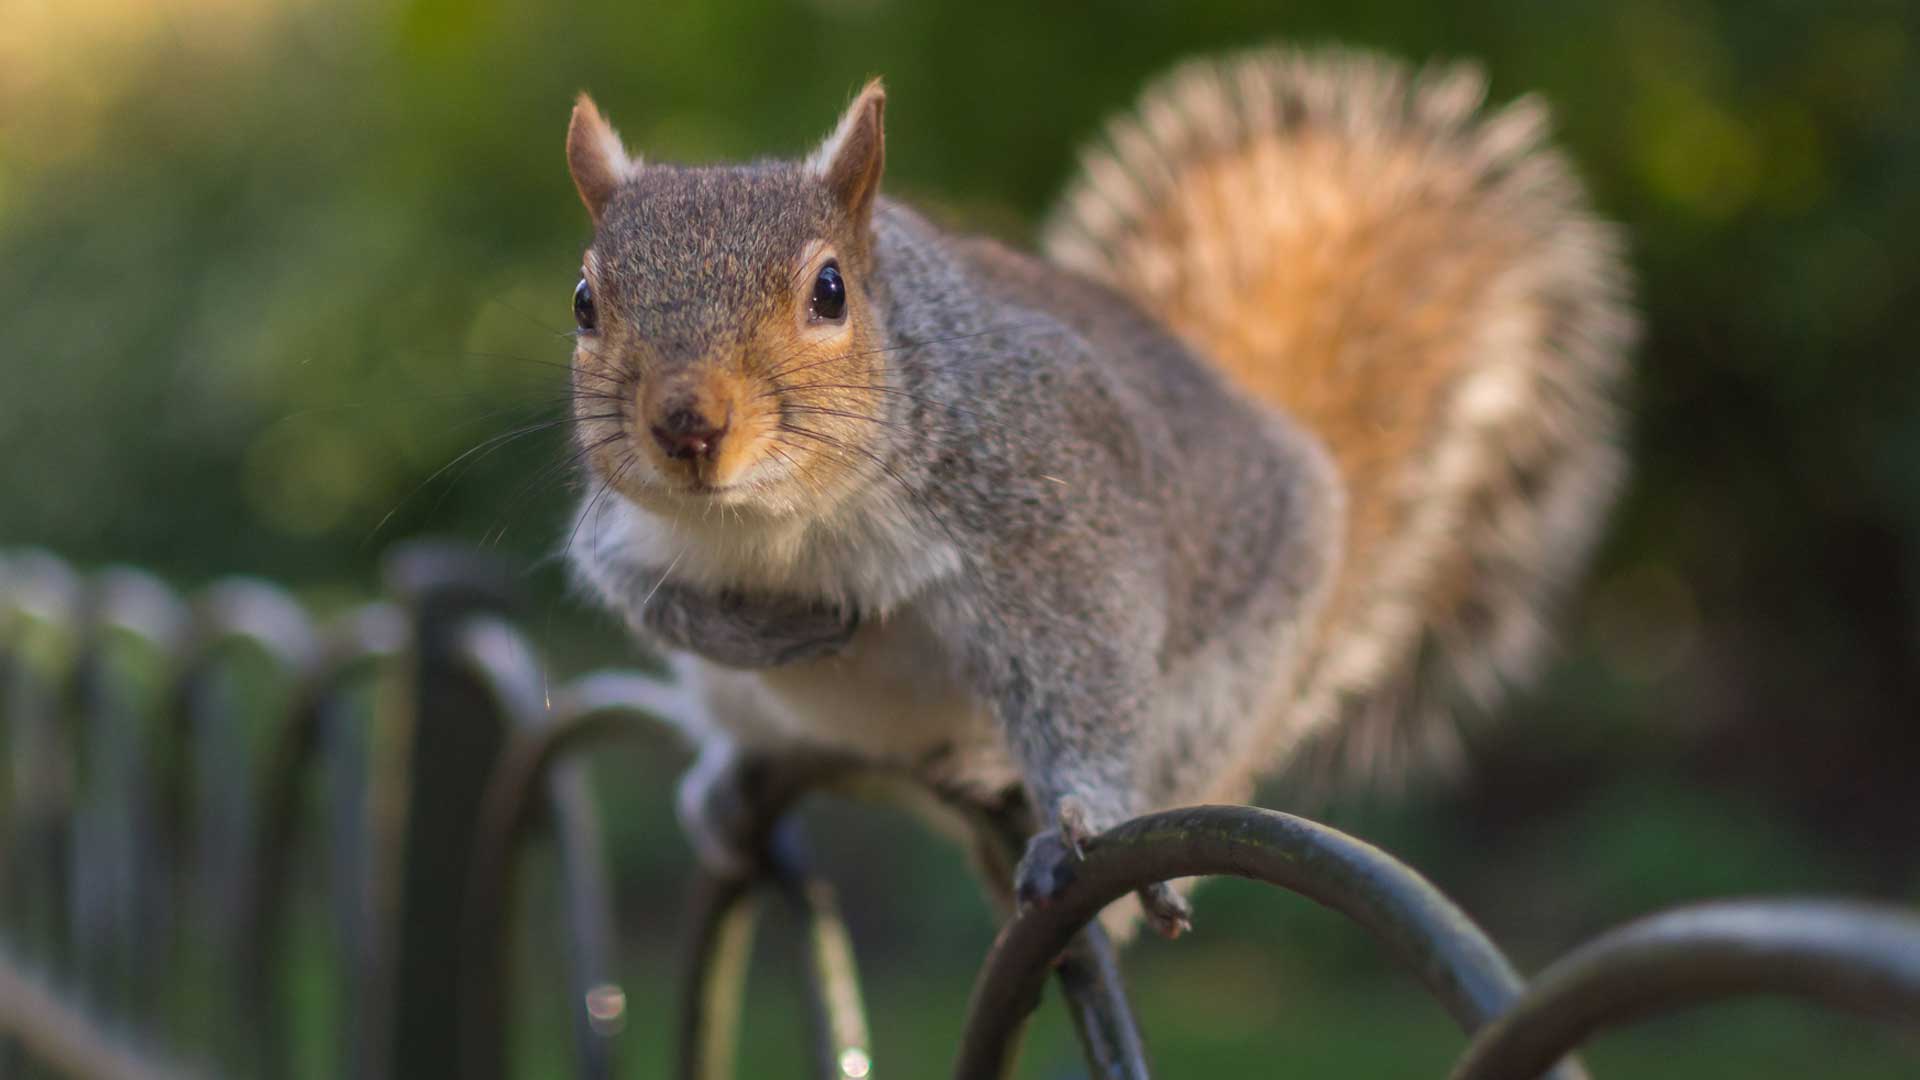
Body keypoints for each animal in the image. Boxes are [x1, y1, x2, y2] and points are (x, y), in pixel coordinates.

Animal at [563, 47, 1633, 938]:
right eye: (584, 303)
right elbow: (642, 597)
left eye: (829, 292)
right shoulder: (620, 530)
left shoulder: (1052, 512)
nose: (687, 425)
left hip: (1223, 690)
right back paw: (725, 778)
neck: (778, 521)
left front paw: (1080, 814)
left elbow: (1086, 661)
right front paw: (767, 632)